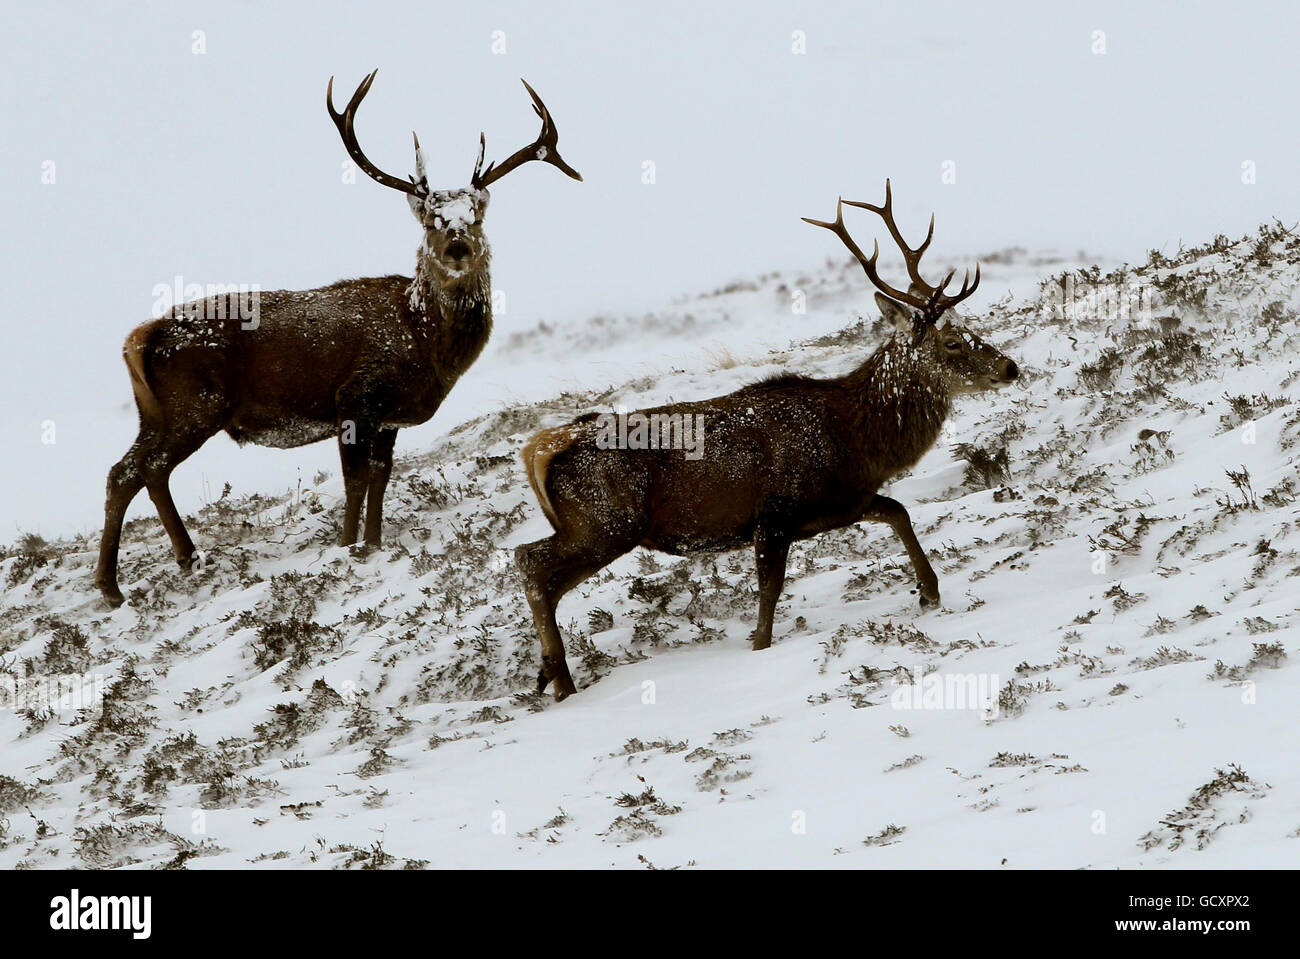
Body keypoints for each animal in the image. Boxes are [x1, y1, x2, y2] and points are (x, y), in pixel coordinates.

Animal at [93, 70, 581, 607]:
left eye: (475, 215)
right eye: (431, 220)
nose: (458, 246)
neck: (423, 340)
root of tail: (138, 338)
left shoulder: (387, 416)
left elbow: (381, 479)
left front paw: (374, 542)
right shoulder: (356, 395)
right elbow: (354, 480)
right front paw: (349, 548)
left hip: (157, 411)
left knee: (134, 470)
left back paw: (151, 571)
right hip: (195, 403)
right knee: (140, 469)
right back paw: (142, 574)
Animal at [515, 181, 1019, 699]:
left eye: (970, 329)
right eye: (952, 343)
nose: (1010, 367)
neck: (857, 438)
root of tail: (539, 446)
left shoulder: (840, 503)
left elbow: (897, 511)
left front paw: (929, 593)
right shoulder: (775, 512)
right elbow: (770, 593)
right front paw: (760, 650)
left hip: (595, 526)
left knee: (539, 571)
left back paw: (549, 672)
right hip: (605, 521)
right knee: (530, 562)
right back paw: (560, 680)